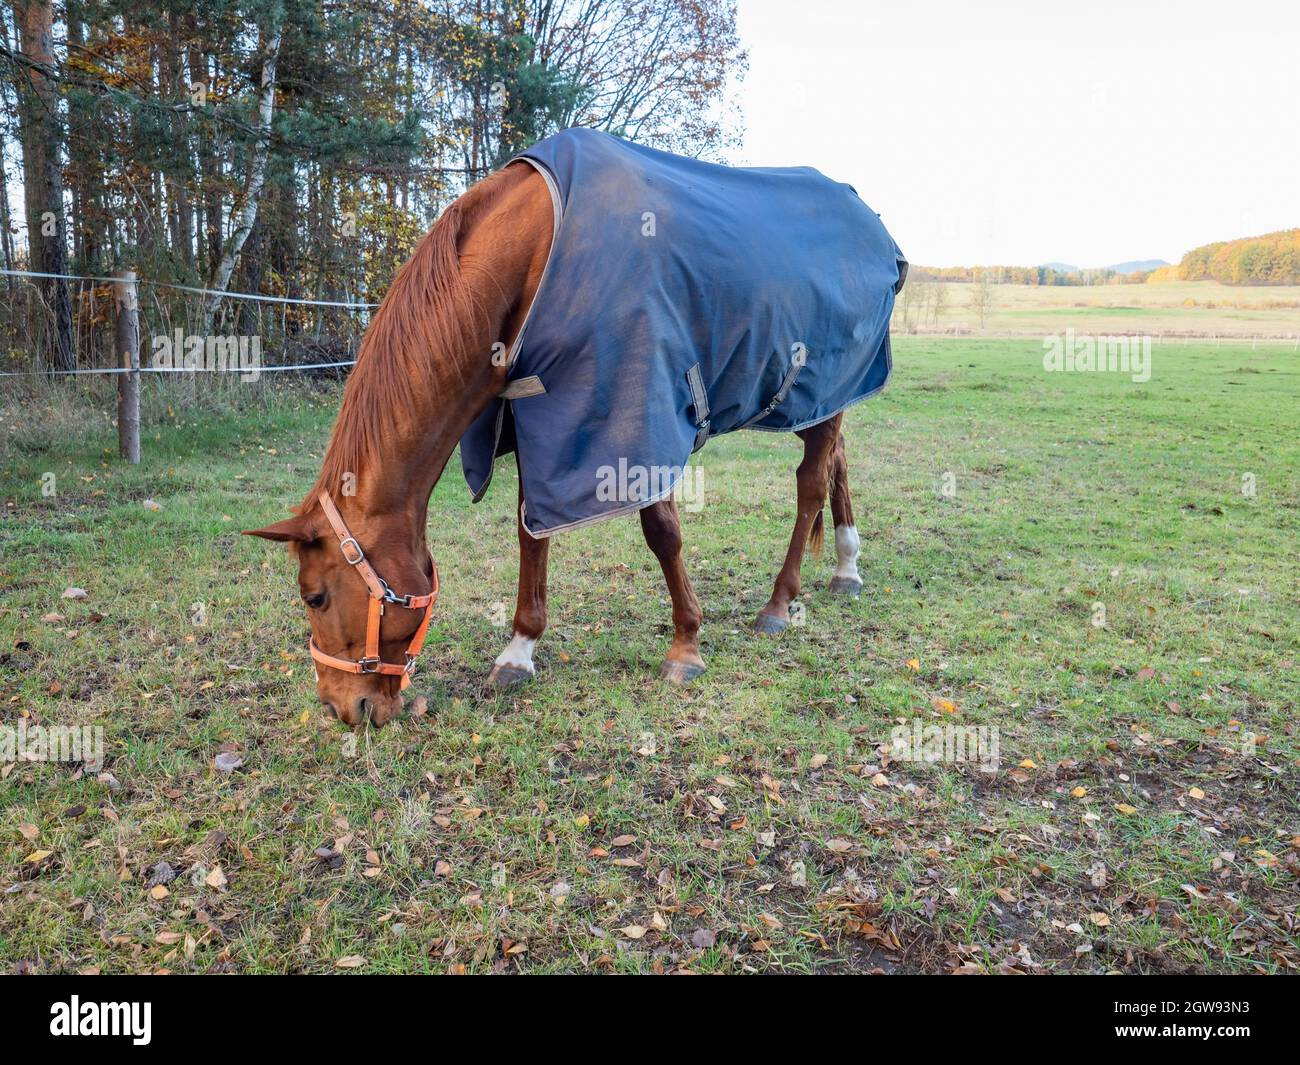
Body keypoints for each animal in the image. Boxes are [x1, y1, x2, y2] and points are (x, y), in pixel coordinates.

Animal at [246, 130, 902, 728]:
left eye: (315, 596)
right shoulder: (538, 413)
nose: (342, 708)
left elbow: (662, 533)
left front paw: (686, 644)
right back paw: (846, 568)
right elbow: (530, 531)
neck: (536, 251)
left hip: (824, 385)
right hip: (820, 401)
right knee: (836, 465)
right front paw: (519, 652)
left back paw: (779, 603)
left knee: (811, 481)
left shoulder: (635, 413)